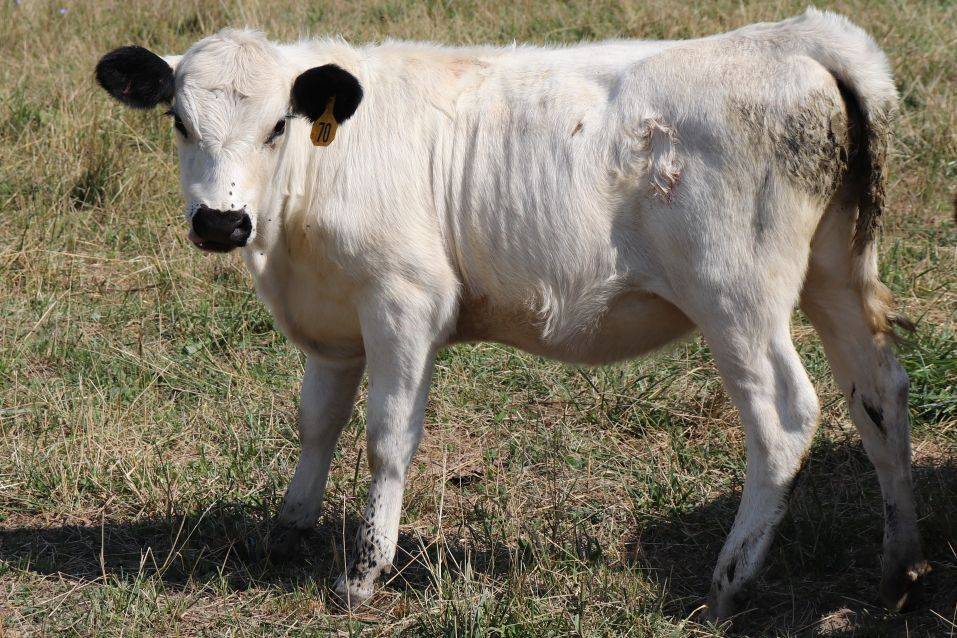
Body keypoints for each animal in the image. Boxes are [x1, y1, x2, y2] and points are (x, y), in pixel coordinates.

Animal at [94, 8, 928, 620]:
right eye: (178, 122)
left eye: (277, 126)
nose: (220, 222)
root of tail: (793, 35)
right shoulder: (331, 325)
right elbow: (316, 425)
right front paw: (287, 531)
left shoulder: (404, 300)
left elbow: (385, 439)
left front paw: (363, 572)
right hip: (834, 274)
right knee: (878, 395)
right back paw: (898, 569)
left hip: (737, 298)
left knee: (785, 419)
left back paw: (729, 581)